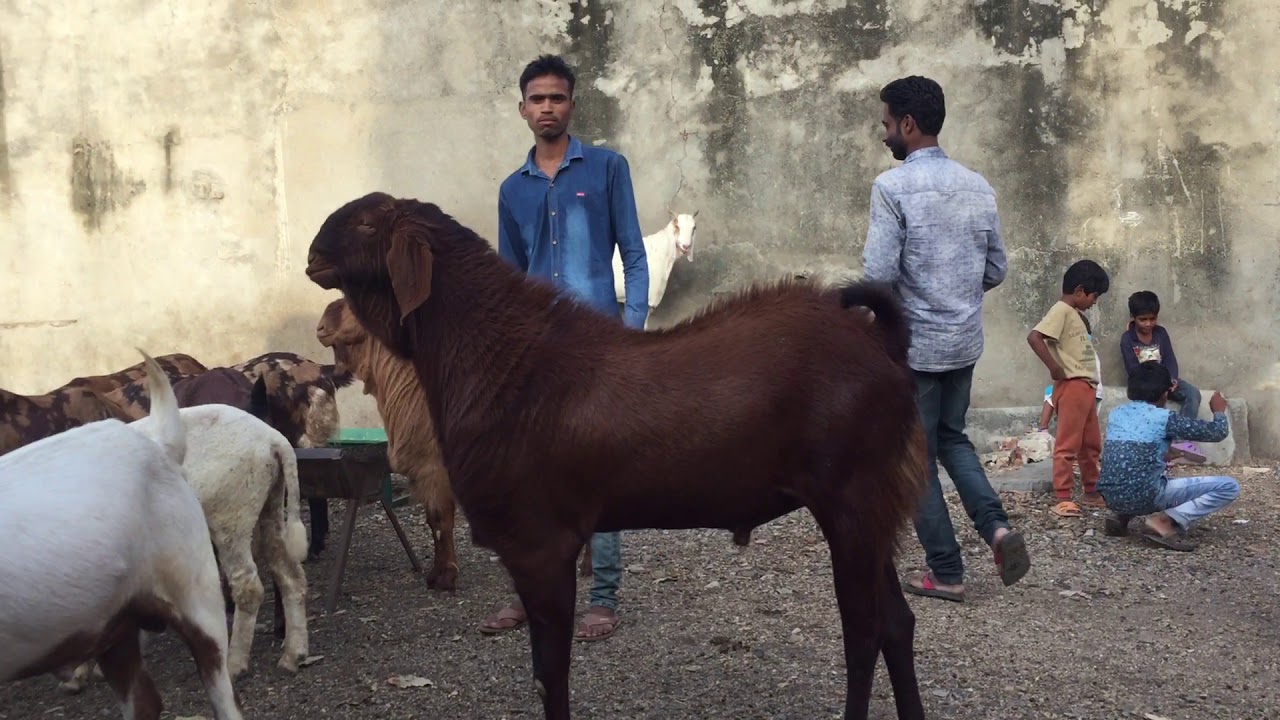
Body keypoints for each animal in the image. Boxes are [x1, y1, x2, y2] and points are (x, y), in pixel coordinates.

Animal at [315, 297, 459, 590]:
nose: (320, 329)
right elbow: (432, 521)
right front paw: (435, 573)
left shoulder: (434, 468)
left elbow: (441, 520)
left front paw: (446, 576)